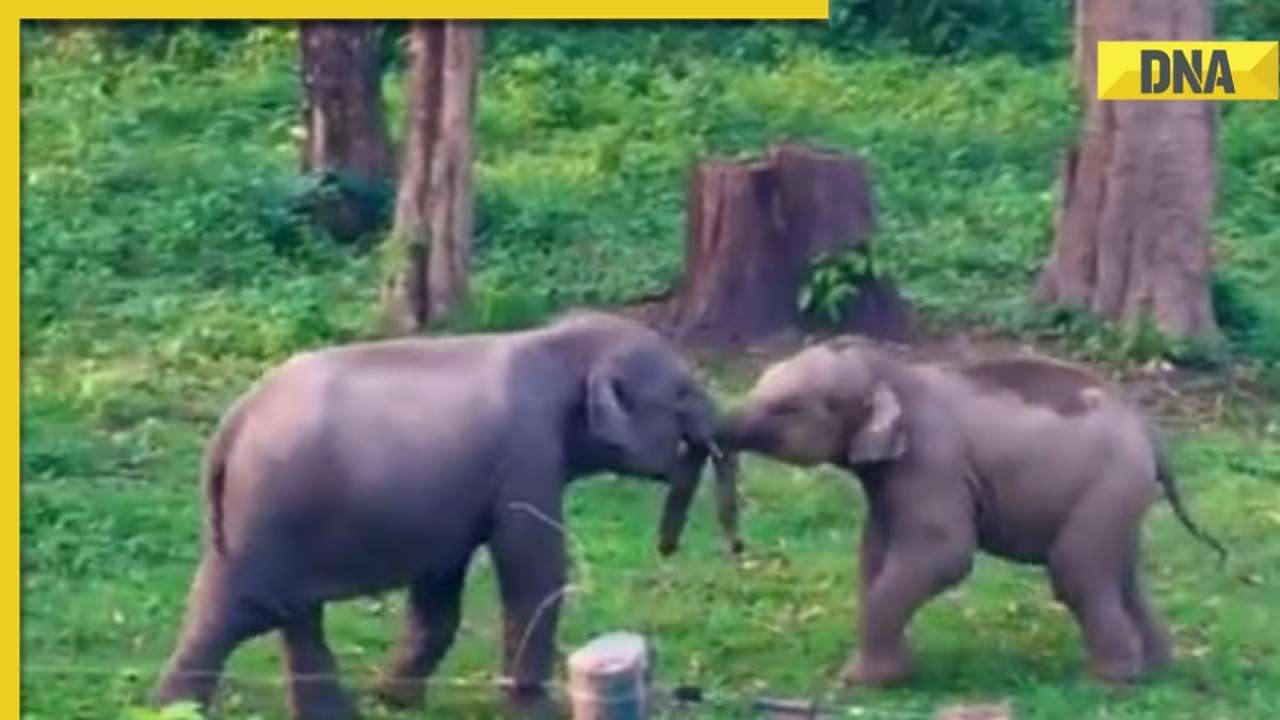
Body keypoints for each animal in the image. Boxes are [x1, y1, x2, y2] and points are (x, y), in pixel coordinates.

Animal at [150, 311, 740, 719]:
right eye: (683, 392)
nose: (669, 546)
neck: (556, 341)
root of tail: (233, 421)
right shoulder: (526, 456)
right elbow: (533, 569)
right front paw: (536, 711)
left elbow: (440, 587)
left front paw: (395, 700)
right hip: (270, 514)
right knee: (237, 613)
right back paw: (173, 710)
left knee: (280, 614)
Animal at [717, 337, 1226, 688]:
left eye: (787, 408)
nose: (717, 430)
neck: (892, 371)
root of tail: (1150, 432)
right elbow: (873, 555)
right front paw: (880, 675)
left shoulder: (931, 463)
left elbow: (947, 556)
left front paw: (864, 683)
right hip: (1122, 497)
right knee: (1123, 575)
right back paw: (1156, 671)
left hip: (1110, 487)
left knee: (1077, 571)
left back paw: (1108, 682)